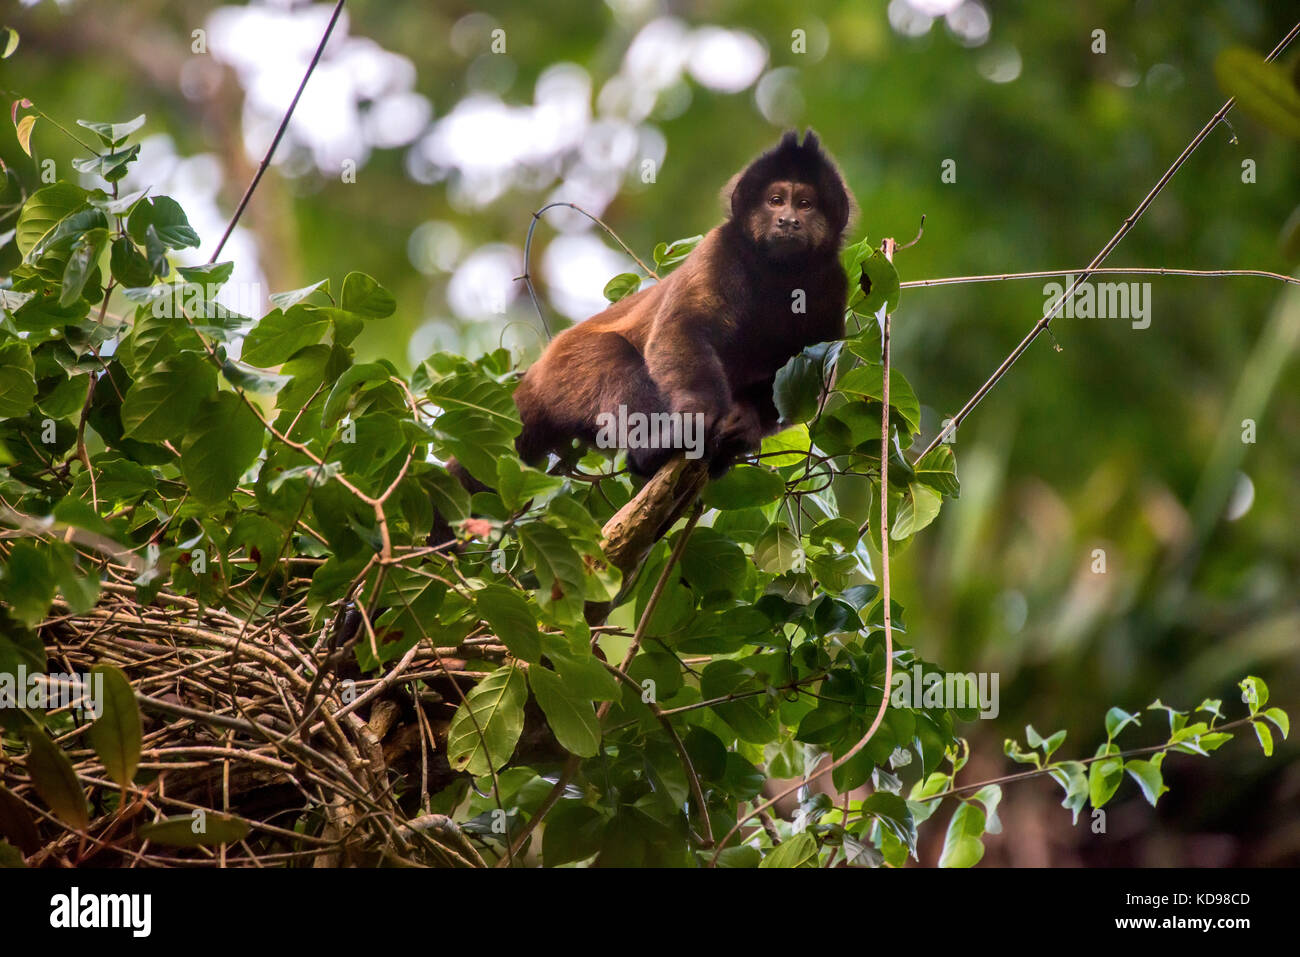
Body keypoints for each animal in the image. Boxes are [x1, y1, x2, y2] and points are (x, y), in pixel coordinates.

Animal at [512, 129, 852, 480]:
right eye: (775, 201)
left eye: (805, 204)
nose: (787, 220)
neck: (777, 273)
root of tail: (535, 375)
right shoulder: (719, 249)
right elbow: (683, 328)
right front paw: (700, 417)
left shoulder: (833, 284)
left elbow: (812, 377)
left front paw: (746, 423)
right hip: (566, 368)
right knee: (613, 361)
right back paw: (654, 449)